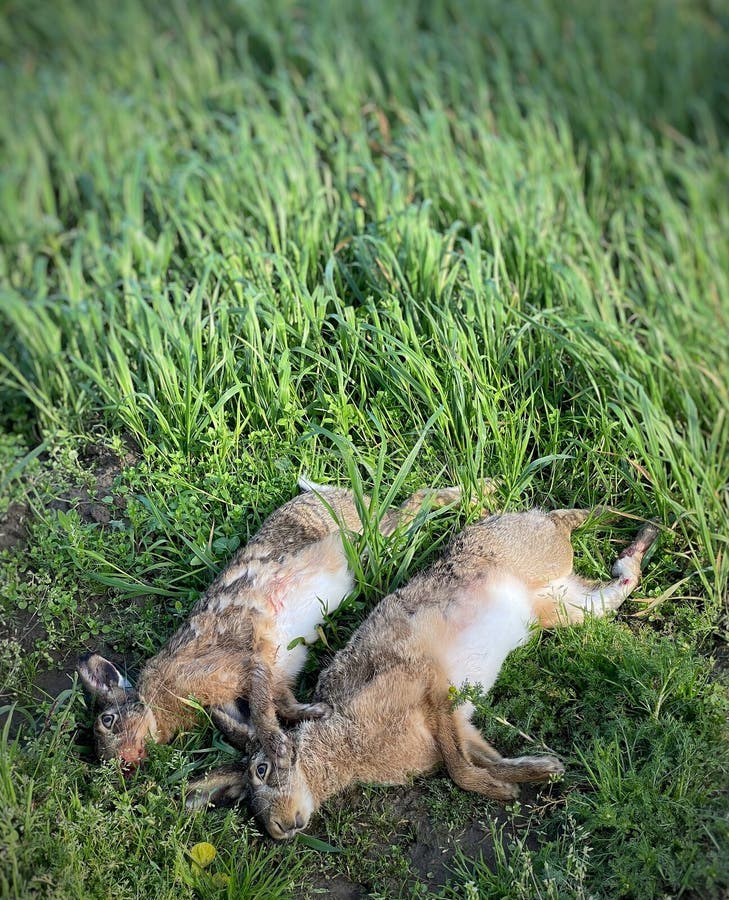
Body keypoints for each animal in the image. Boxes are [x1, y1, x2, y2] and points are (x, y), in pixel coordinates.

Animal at [77, 479, 471, 770]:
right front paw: (314, 713)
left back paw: (471, 493)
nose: (122, 764)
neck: (153, 697)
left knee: (413, 505)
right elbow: (280, 705)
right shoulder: (265, 676)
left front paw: (278, 750)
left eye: (107, 720)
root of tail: (324, 492)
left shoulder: (243, 662)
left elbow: (262, 709)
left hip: (377, 534)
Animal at [186, 508, 659, 840]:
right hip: (561, 608)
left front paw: (505, 792)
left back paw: (629, 523)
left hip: (544, 556)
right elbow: (481, 757)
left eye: (263, 769)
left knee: (565, 524)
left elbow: (459, 770)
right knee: (615, 589)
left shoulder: (428, 684)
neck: (343, 744)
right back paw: (639, 545)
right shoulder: (459, 723)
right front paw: (541, 770)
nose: (279, 830)